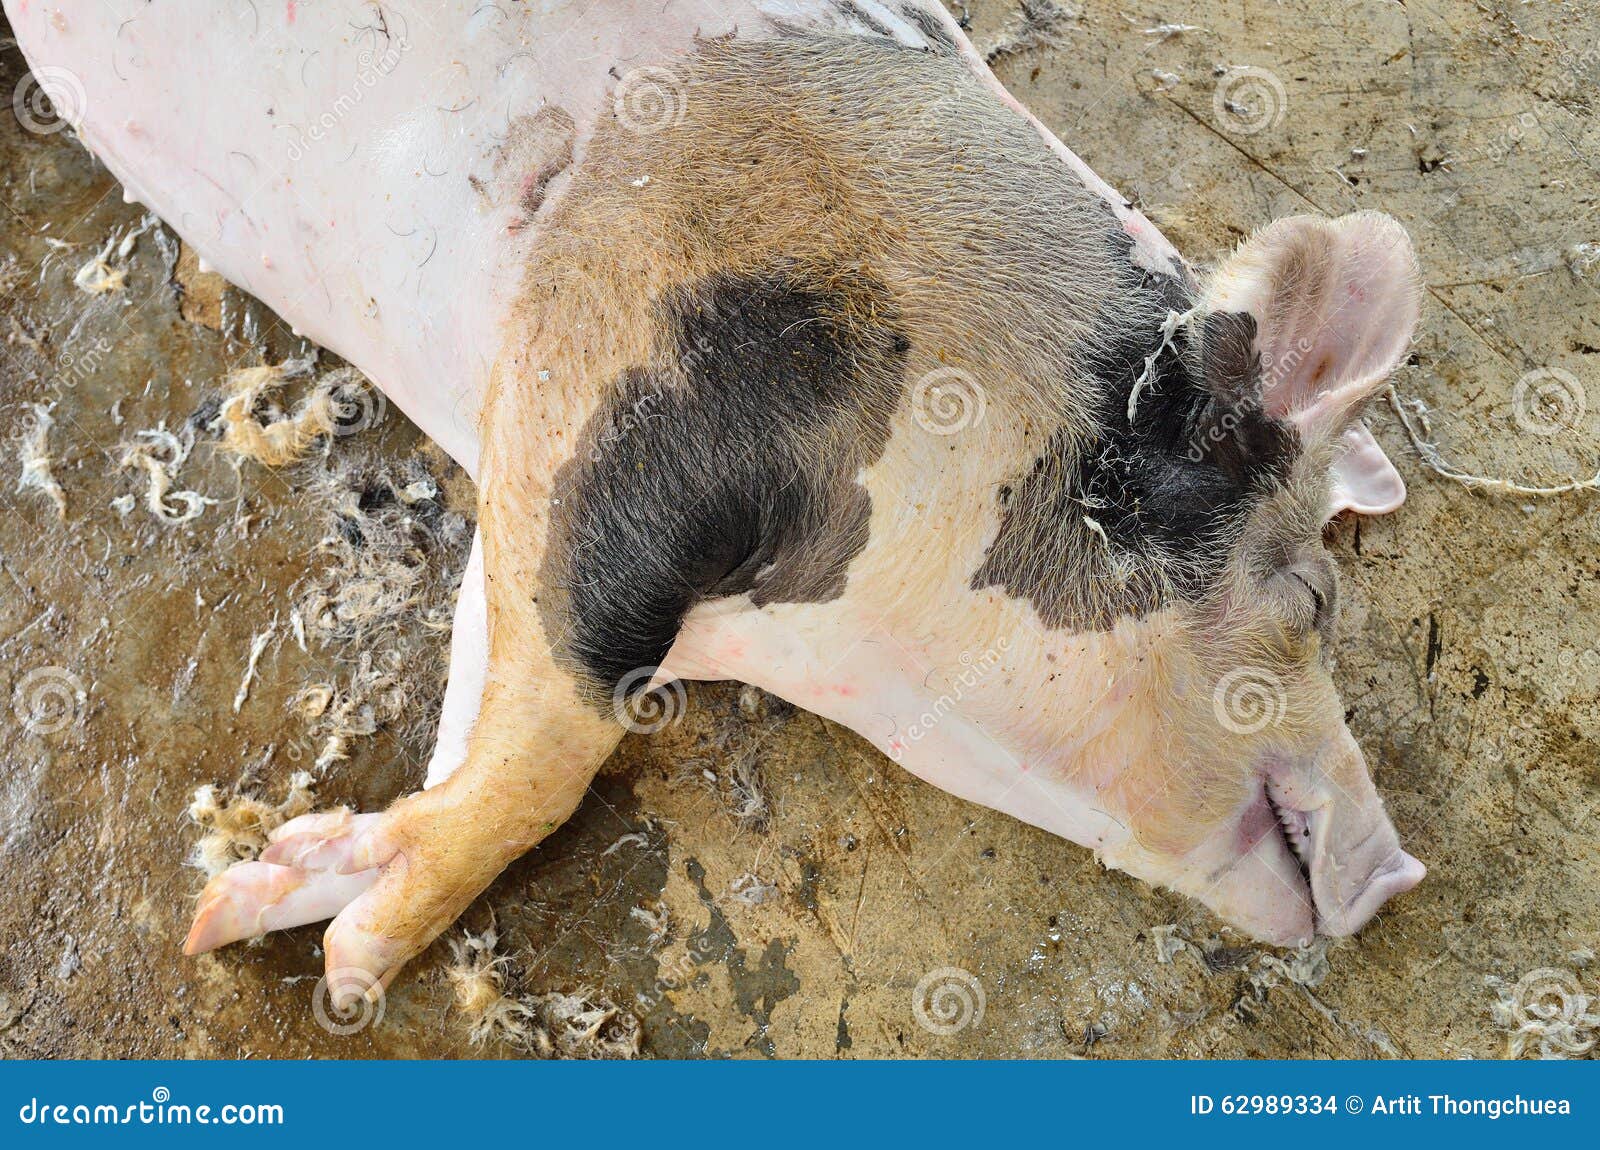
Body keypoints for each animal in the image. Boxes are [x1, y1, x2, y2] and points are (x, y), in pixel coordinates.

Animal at [5, 0, 1425, 1009]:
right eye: (1312, 597)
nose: (1396, 874)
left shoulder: (535, 486)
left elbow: (487, 686)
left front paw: (275, 899)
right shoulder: (599, 358)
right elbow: (556, 732)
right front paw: (326, 961)